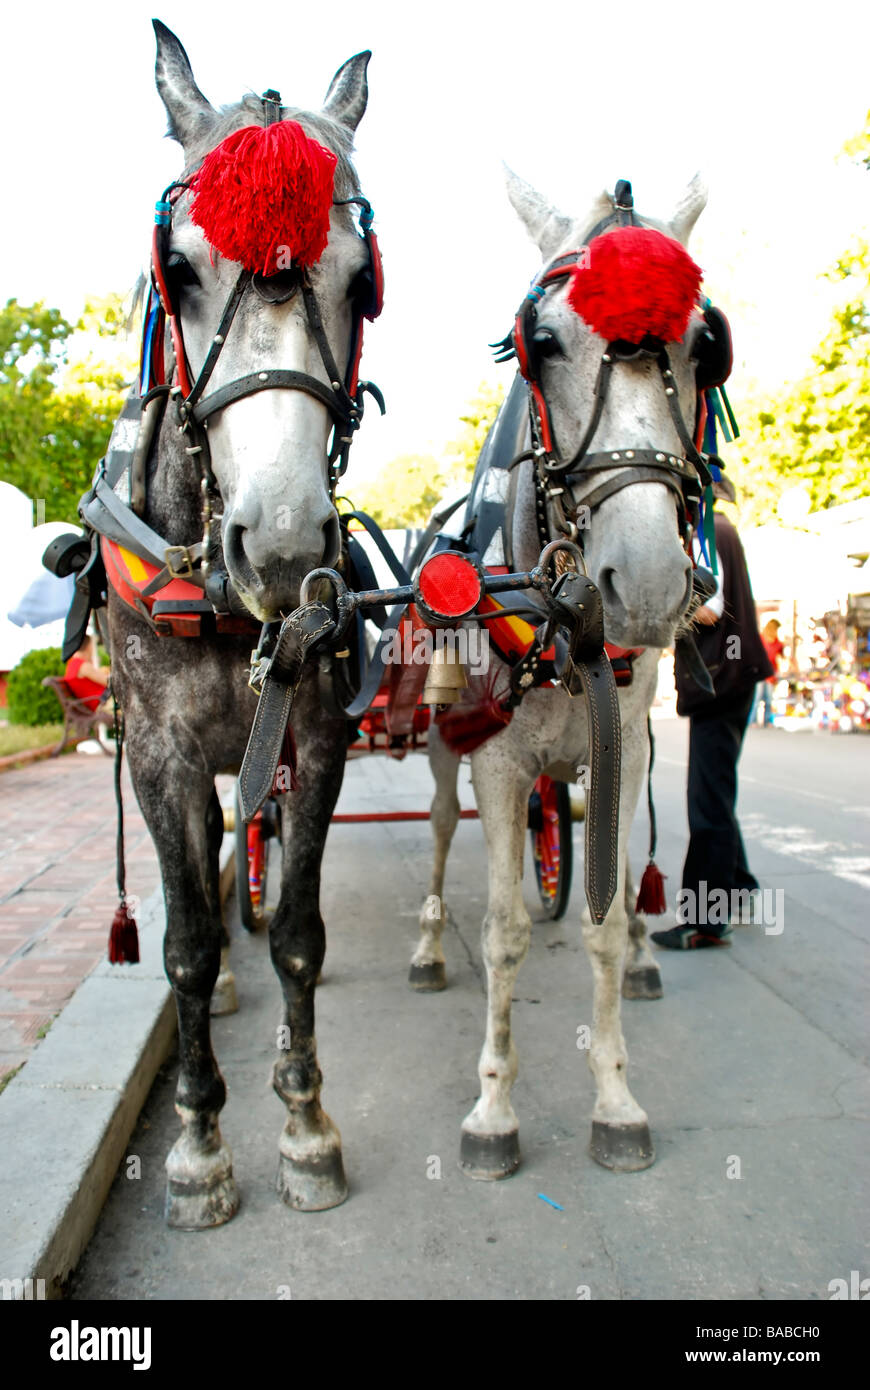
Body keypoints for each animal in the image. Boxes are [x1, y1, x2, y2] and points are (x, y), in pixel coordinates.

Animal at [411, 168, 723, 1177]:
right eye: (541, 344)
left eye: (706, 345)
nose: (652, 580)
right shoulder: (498, 764)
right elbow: (505, 933)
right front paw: (493, 1110)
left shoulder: (620, 749)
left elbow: (604, 918)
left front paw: (616, 1098)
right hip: (444, 747)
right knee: (439, 830)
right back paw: (429, 945)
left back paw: (647, 954)